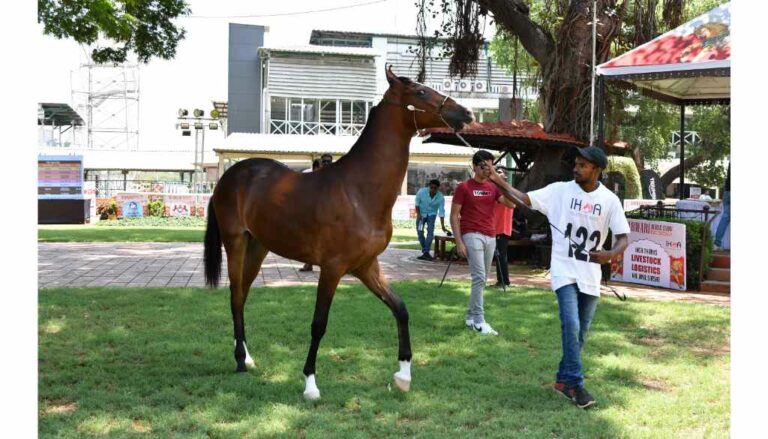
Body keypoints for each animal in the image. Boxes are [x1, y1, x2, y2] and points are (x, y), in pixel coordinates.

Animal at [203, 65, 474, 400]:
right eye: (421, 91)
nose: (466, 112)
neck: (358, 190)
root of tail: (231, 175)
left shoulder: (366, 266)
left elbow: (400, 309)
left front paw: (403, 376)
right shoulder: (332, 268)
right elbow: (319, 324)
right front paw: (310, 383)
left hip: (258, 246)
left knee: (241, 296)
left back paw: (247, 357)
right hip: (236, 242)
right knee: (236, 295)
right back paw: (240, 360)